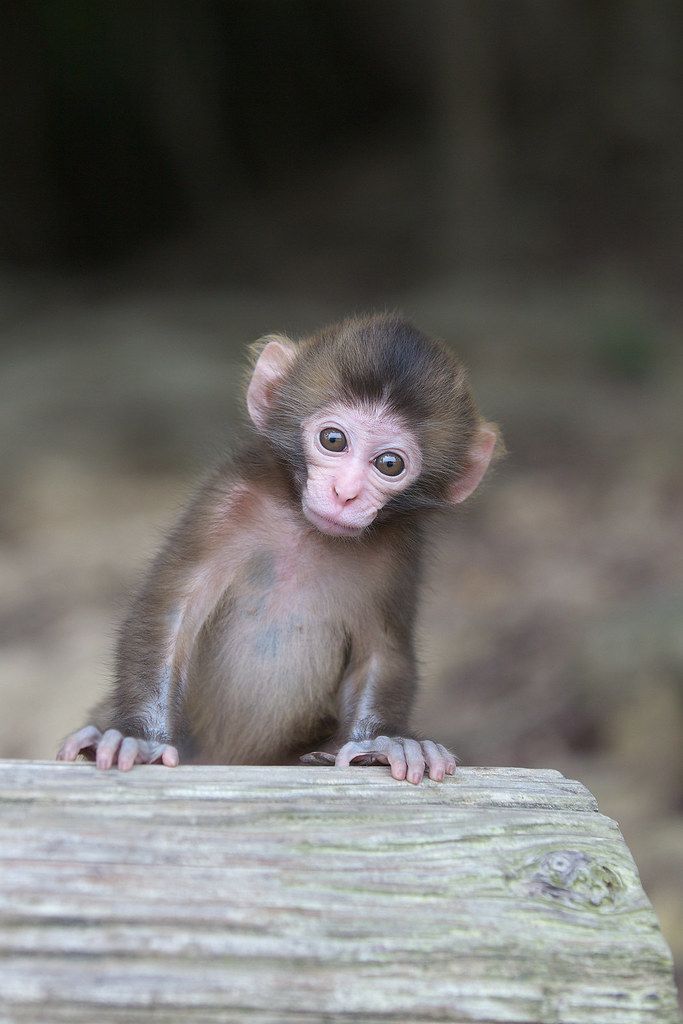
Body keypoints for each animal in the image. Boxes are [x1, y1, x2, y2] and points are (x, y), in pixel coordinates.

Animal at [57, 314, 500, 784]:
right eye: (333, 440)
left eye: (390, 464)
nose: (345, 494)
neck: (307, 529)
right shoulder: (227, 501)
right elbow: (170, 611)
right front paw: (141, 739)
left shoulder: (396, 549)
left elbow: (382, 649)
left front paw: (382, 743)